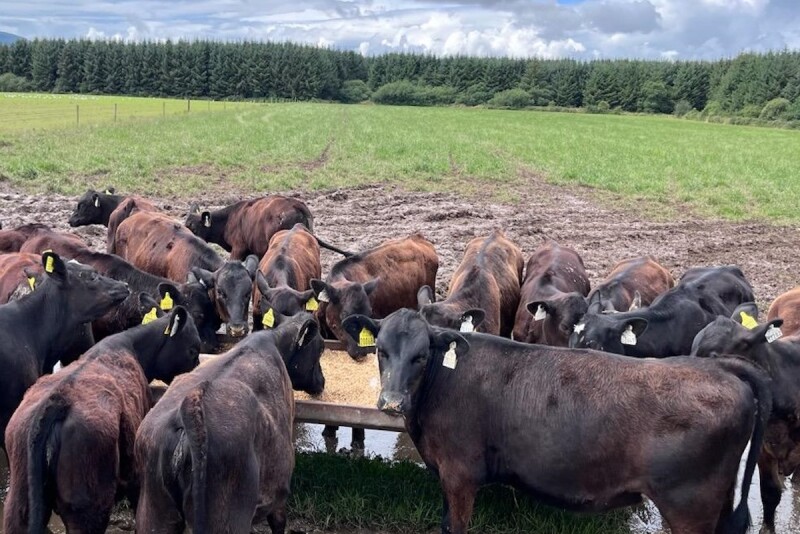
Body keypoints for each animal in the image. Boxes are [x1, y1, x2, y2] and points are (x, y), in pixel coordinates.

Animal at [135, 317, 318, 534]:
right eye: (319, 349)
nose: (321, 382)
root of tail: (189, 407)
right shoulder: (278, 493)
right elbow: (278, 521)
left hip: (155, 515)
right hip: (227, 519)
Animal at [342, 309, 769, 534]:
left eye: (420, 355)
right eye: (381, 350)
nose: (392, 402)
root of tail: (719, 367)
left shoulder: (459, 475)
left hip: (689, 506)